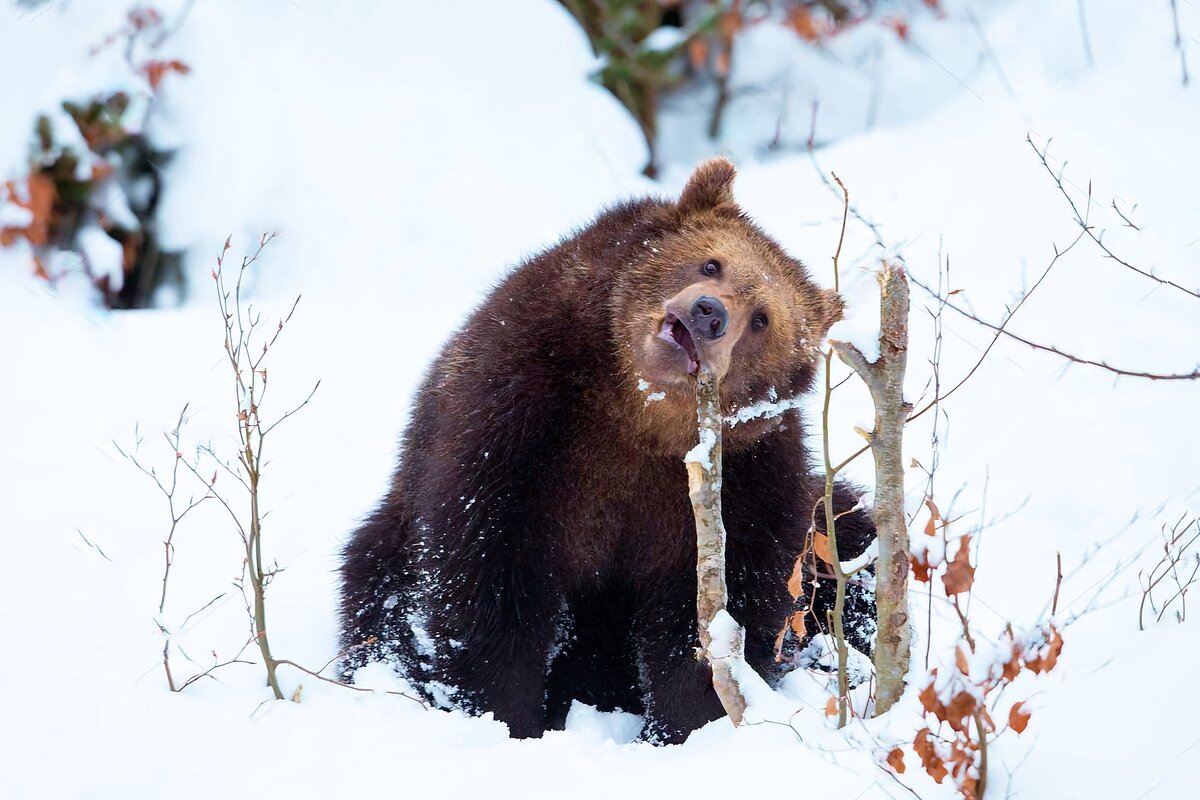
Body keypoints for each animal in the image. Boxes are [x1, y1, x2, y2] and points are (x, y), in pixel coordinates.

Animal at [338, 155, 873, 743]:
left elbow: (721, 611)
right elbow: (486, 575)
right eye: (711, 263)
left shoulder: (750, 482)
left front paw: (684, 726)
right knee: (376, 591)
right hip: (385, 544)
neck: (637, 420)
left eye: (763, 319)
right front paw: (499, 714)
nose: (708, 313)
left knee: (851, 544)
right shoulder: (514, 418)